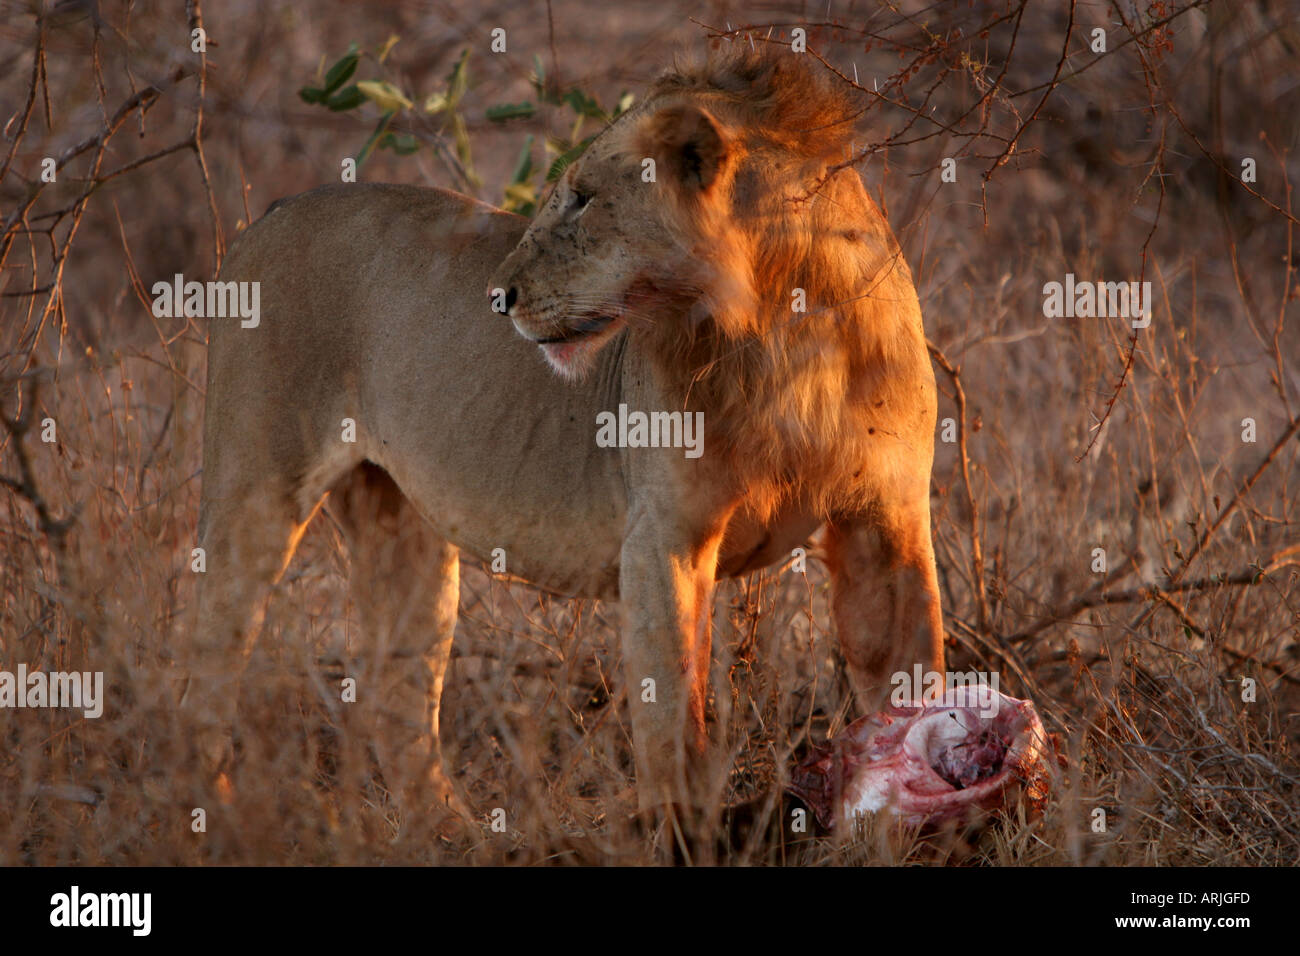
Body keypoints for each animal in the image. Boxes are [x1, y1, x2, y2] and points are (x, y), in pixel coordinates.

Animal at [186, 46, 944, 833]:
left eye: (582, 197)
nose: (498, 296)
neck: (789, 332)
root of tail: (272, 210)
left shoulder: (888, 523)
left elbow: (912, 679)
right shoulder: (663, 535)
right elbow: (675, 716)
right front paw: (680, 834)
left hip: (400, 524)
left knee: (400, 690)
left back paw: (451, 828)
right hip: (257, 489)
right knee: (211, 653)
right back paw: (213, 807)